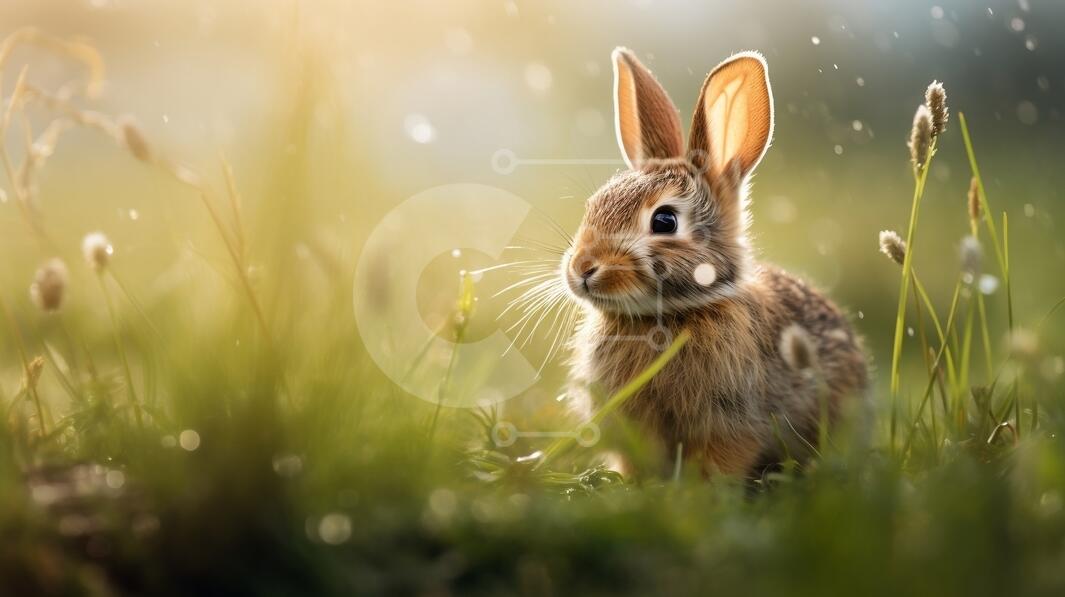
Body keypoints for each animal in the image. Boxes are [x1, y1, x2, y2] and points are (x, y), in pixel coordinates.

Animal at [562, 48, 868, 479]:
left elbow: (720, 460)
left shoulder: (733, 423)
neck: (665, 317)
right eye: (593, 206)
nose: (582, 269)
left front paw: (699, 490)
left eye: (665, 221)